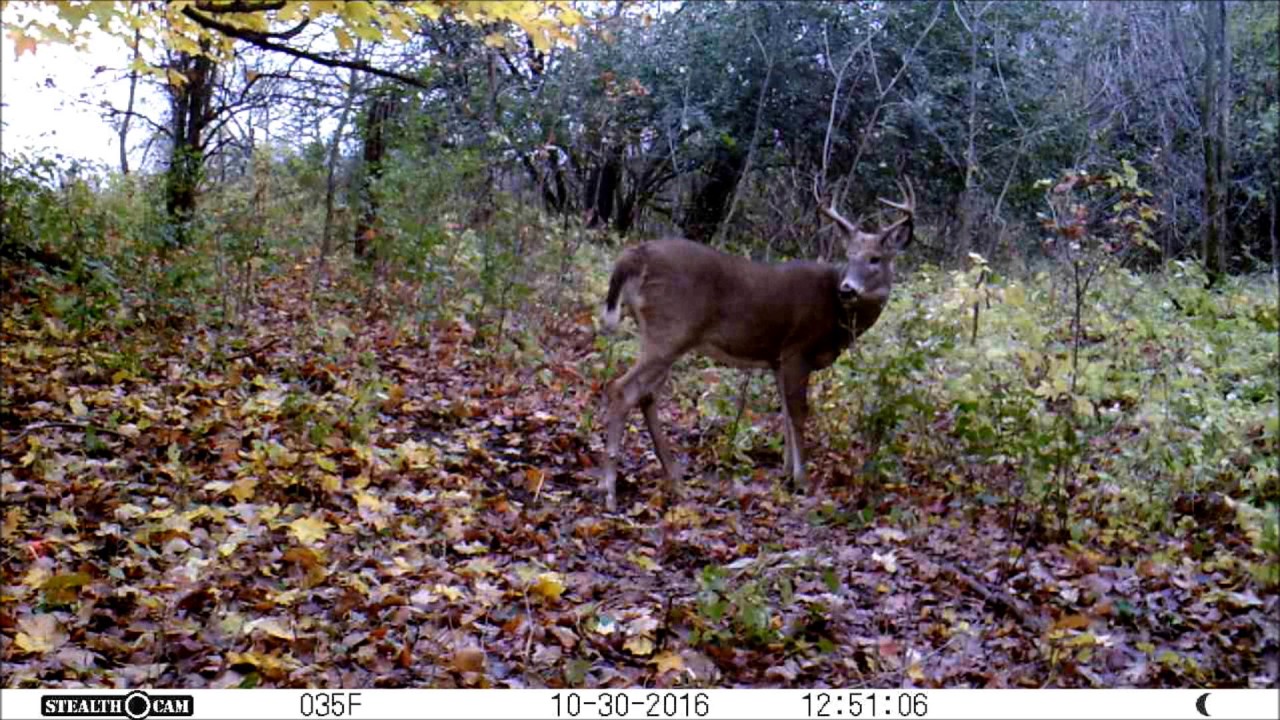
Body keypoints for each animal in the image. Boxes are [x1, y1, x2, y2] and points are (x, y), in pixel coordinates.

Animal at [597, 179, 916, 511]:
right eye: (850, 255)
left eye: (875, 258)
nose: (848, 289)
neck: (836, 313)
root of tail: (635, 256)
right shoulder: (796, 349)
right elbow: (798, 413)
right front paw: (802, 481)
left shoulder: (777, 359)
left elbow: (785, 413)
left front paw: (787, 473)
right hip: (669, 331)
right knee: (622, 388)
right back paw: (609, 491)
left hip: (663, 336)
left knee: (646, 395)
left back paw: (673, 479)